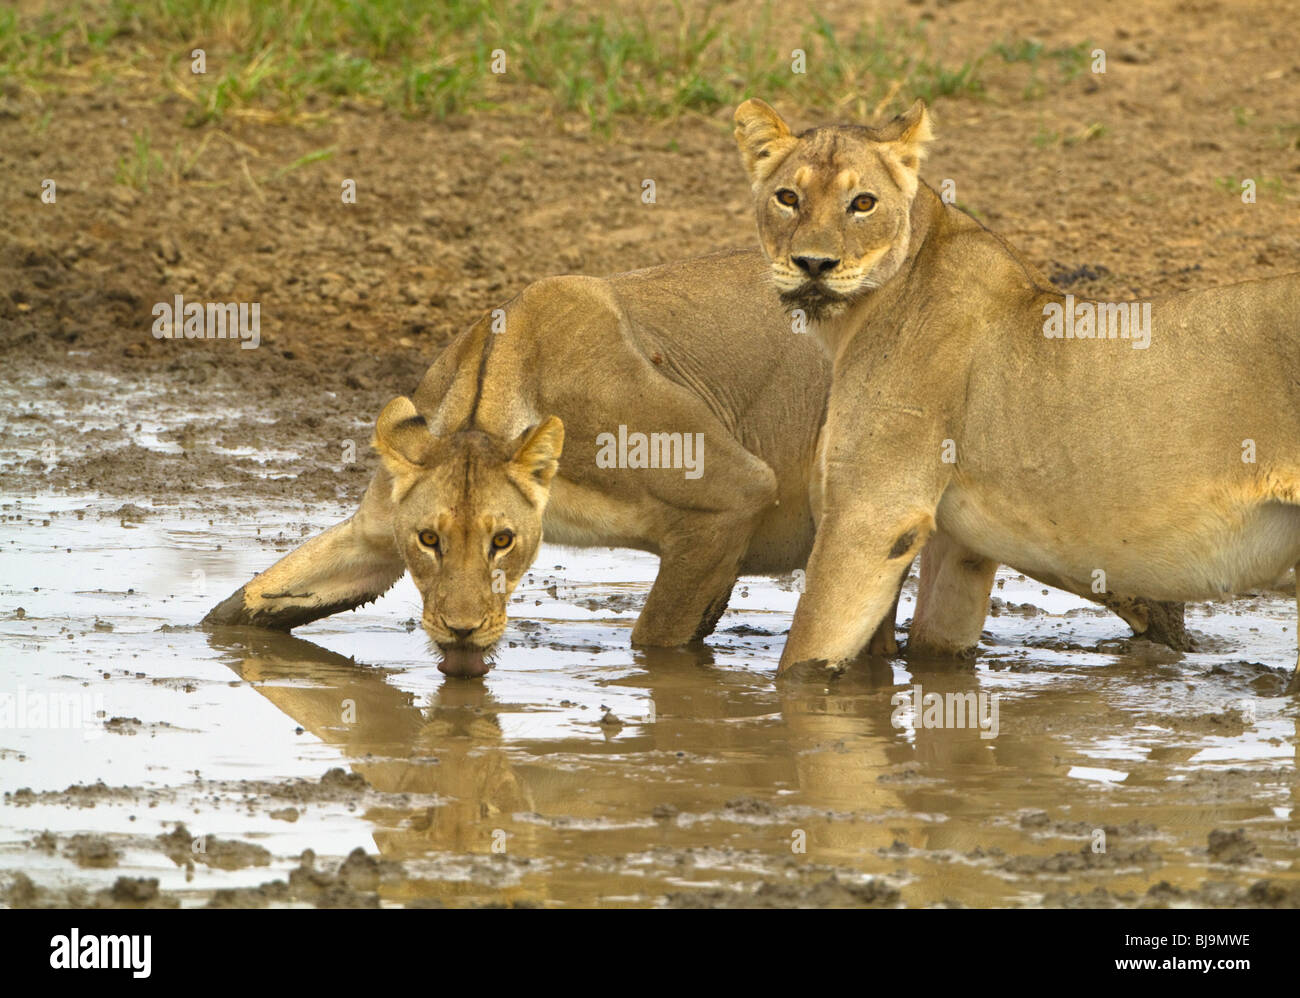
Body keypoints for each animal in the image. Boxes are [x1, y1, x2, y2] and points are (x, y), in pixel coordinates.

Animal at [202, 251, 1177, 675]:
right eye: (430, 541)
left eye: (505, 541)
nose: (465, 630)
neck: (496, 386)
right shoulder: (373, 534)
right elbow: (242, 607)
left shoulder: (732, 494)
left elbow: (660, 638)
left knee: (1151, 599)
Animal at [733, 97, 1300, 688]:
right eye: (788, 198)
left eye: (862, 203)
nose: (814, 265)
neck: (853, 318)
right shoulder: (959, 544)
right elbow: (937, 647)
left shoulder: (876, 512)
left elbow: (805, 652)